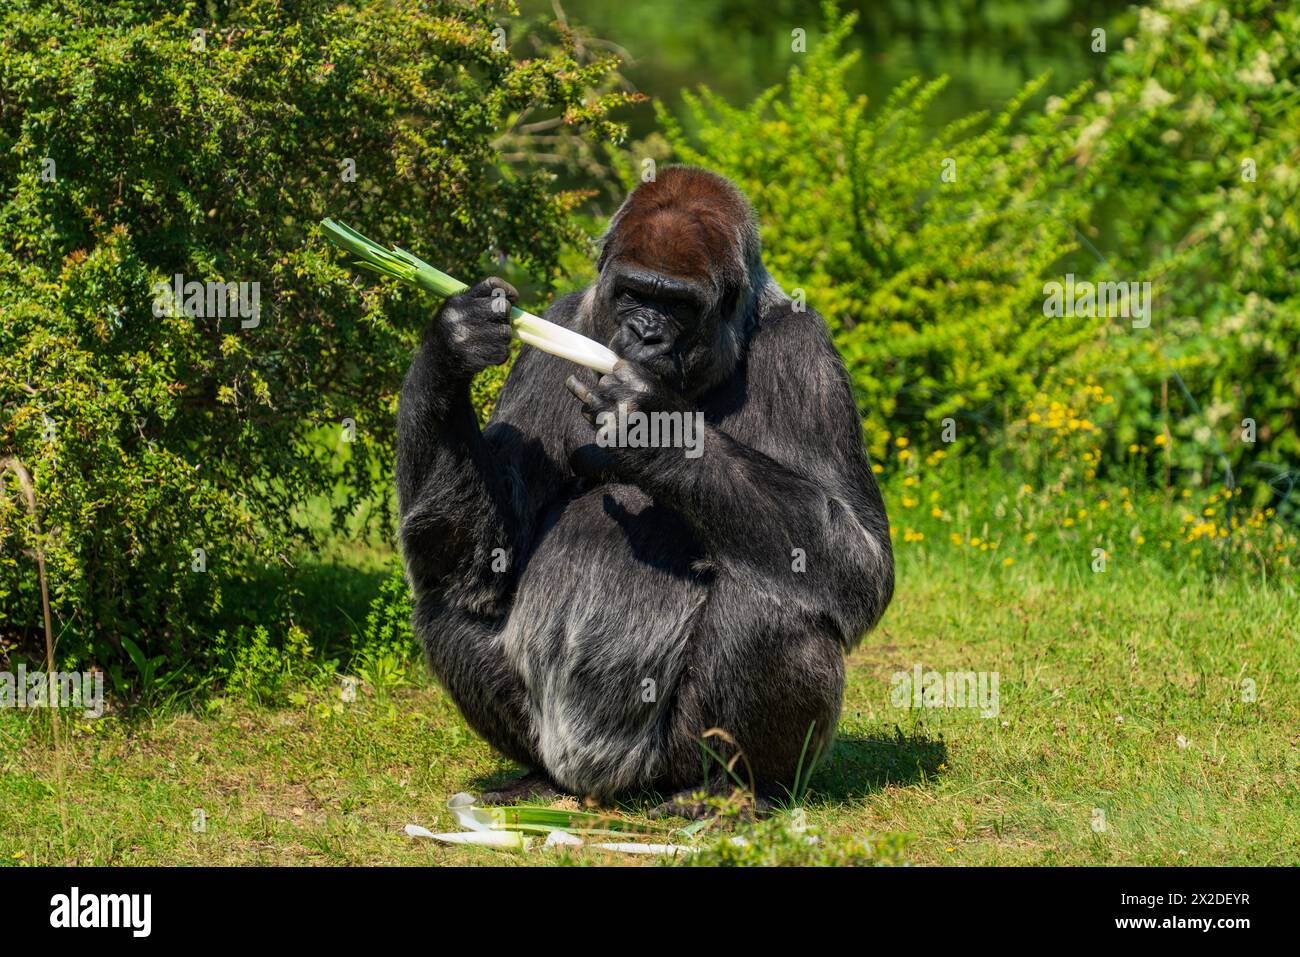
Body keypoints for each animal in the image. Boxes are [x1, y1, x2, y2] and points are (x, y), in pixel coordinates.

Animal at [396, 166, 893, 816]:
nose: (644, 335)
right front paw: (452, 342)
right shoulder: (556, 327)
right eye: (634, 294)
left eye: (677, 303)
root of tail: (605, 786)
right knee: (446, 589)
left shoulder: (807, 353)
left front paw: (653, 428)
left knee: (781, 607)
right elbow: (485, 556)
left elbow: (862, 561)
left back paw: (734, 791)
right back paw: (536, 778)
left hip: (668, 764)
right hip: (553, 743)